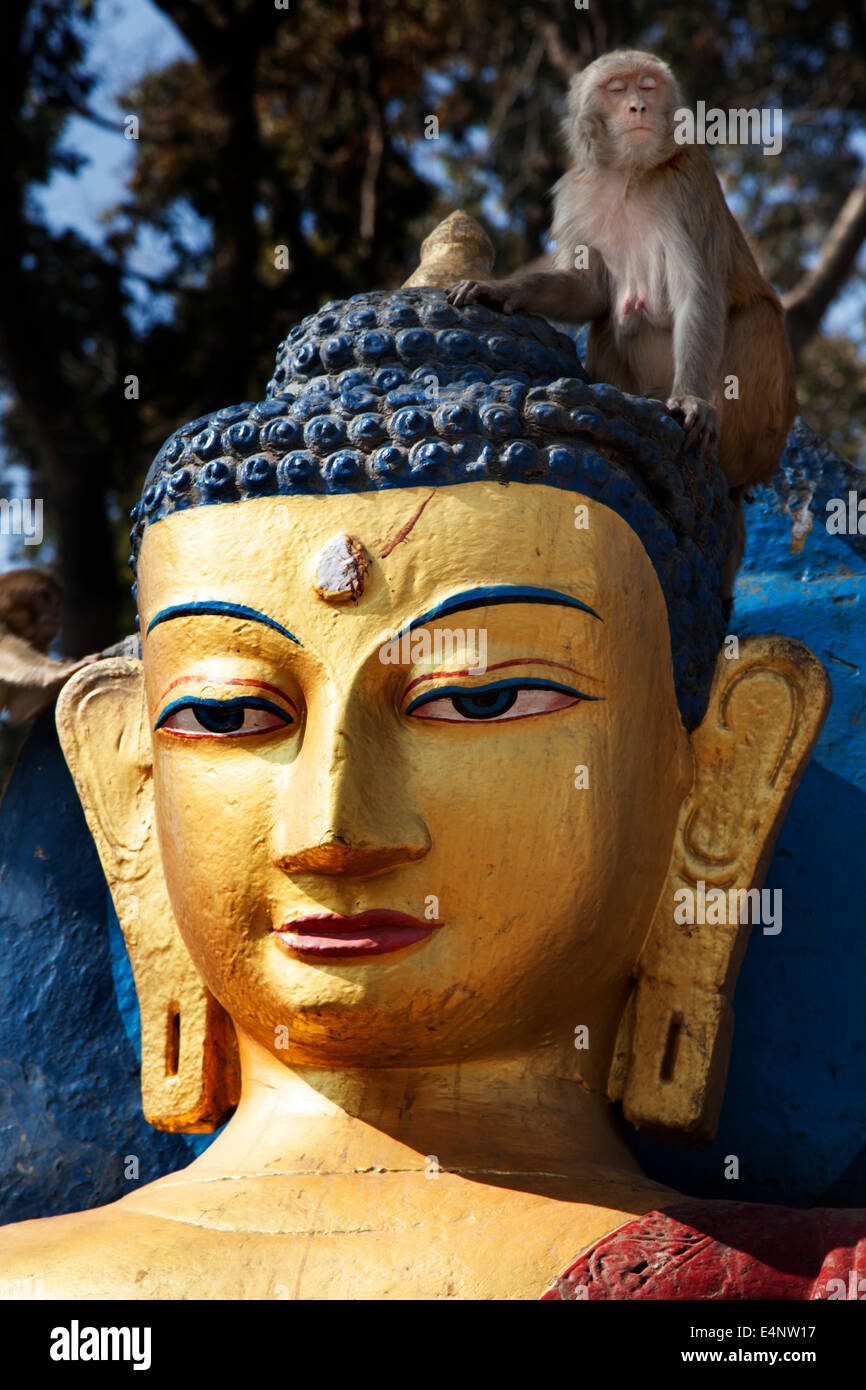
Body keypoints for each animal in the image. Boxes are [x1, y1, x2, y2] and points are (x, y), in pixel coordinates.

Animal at [448, 49, 797, 604]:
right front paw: (499, 291)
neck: (630, 174)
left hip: (763, 431)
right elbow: (588, 290)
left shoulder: (689, 179)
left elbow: (698, 294)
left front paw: (690, 400)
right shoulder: (576, 192)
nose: (637, 105)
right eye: (616, 88)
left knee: (757, 318)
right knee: (609, 318)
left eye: (648, 86)